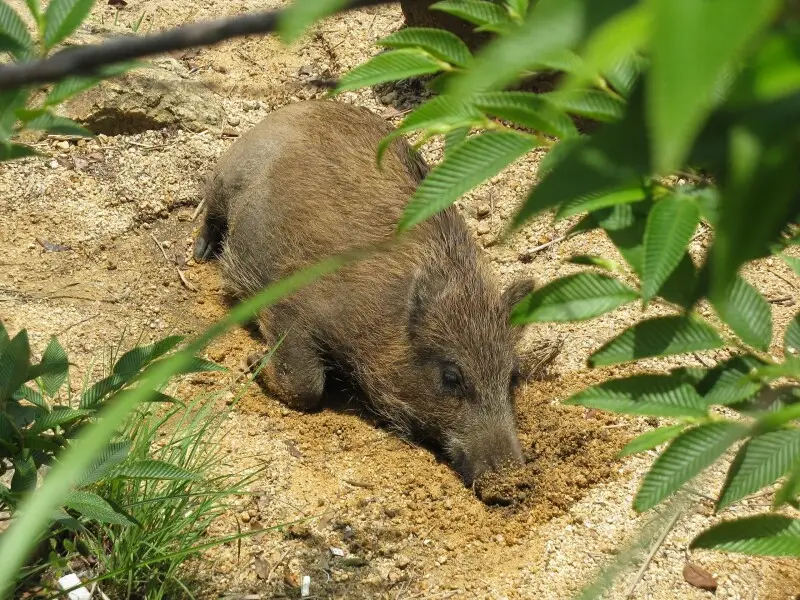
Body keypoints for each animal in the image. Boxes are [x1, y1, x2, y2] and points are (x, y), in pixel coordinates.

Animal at [193, 99, 539, 486]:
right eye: (451, 376)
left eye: (512, 375)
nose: (513, 483)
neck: (385, 315)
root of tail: (290, 110)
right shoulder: (291, 307)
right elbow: (307, 385)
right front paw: (252, 359)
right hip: (224, 179)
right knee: (210, 212)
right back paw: (199, 254)